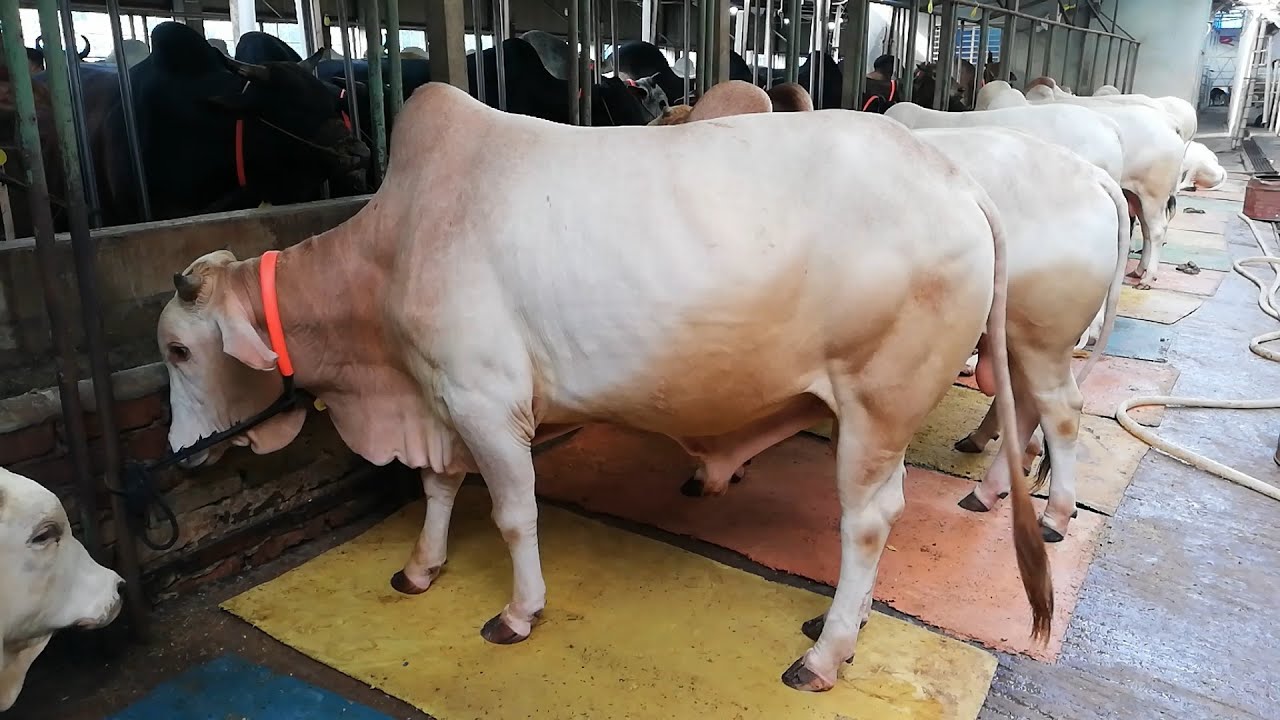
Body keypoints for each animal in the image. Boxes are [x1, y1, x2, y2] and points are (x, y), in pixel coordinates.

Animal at [157, 82, 1051, 692]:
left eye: (175, 349)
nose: (177, 452)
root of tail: (953, 178)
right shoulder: (441, 399)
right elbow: (438, 487)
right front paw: (420, 567)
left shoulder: (485, 402)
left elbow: (514, 514)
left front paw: (518, 611)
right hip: (883, 414)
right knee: (887, 510)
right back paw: (846, 622)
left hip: (874, 402)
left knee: (865, 523)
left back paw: (824, 653)